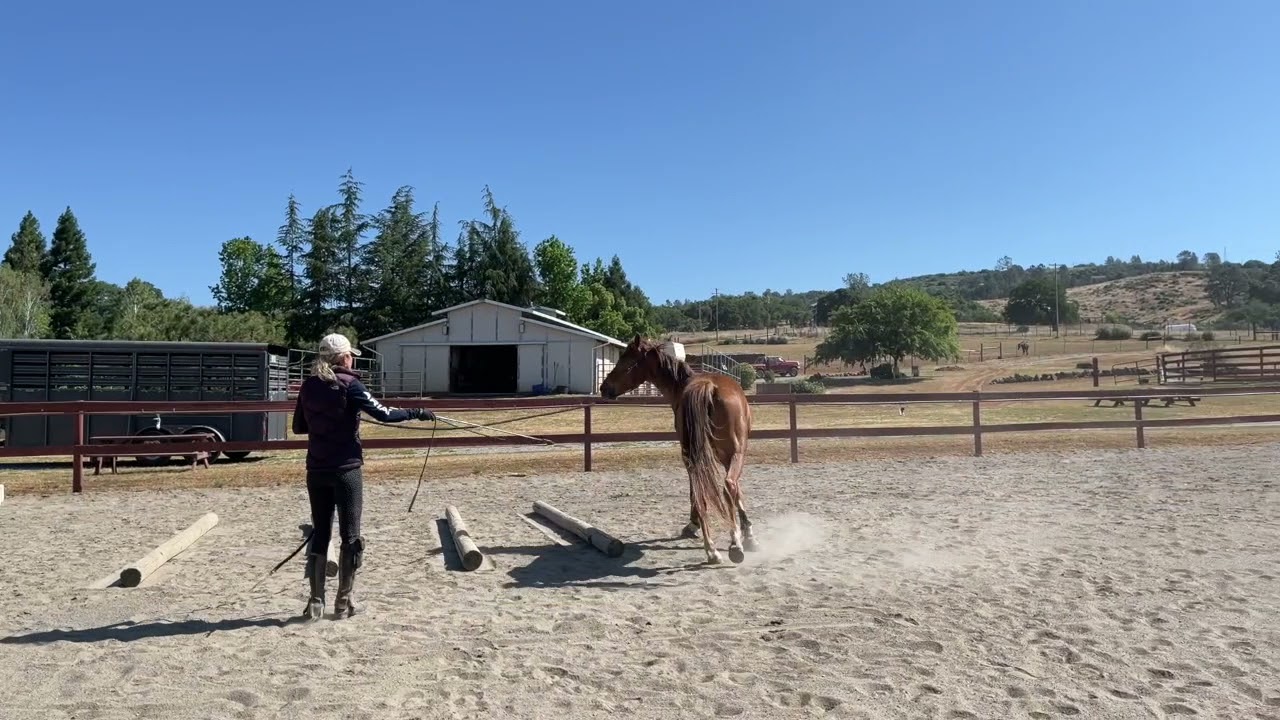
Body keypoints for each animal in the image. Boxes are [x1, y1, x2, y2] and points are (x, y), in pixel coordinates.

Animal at [599, 335, 757, 564]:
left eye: (625, 361)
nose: (604, 387)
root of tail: (709, 387)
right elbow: (735, 490)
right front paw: (747, 533)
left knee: (712, 490)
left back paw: (715, 549)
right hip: (725, 454)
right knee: (725, 487)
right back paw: (728, 545)